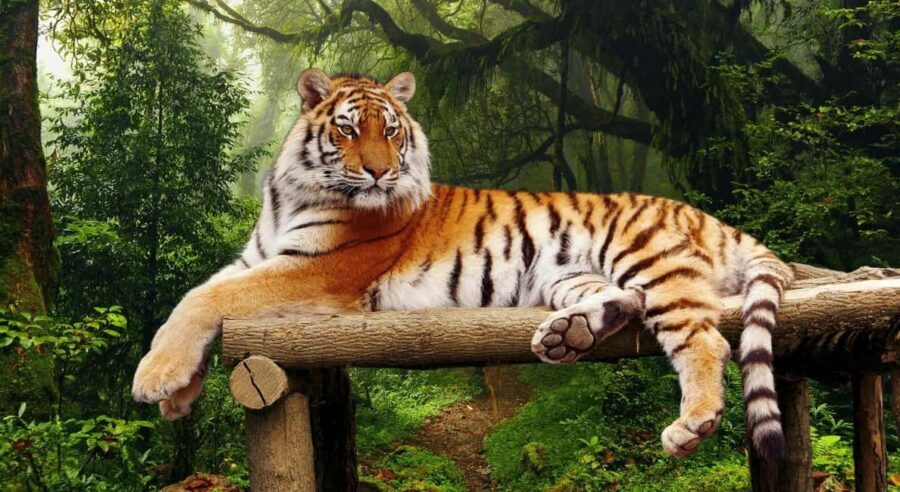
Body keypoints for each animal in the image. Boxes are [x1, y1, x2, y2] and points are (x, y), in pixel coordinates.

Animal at [132, 68, 793, 460]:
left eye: (390, 131)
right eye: (347, 130)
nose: (379, 173)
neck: (291, 193)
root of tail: (707, 215)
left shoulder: (320, 271)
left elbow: (207, 298)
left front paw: (153, 378)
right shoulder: (257, 256)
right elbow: (198, 294)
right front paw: (178, 395)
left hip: (646, 256)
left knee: (705, 339)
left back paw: (692, 424)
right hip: (567, 273)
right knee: (624, 301)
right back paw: (567, 335)